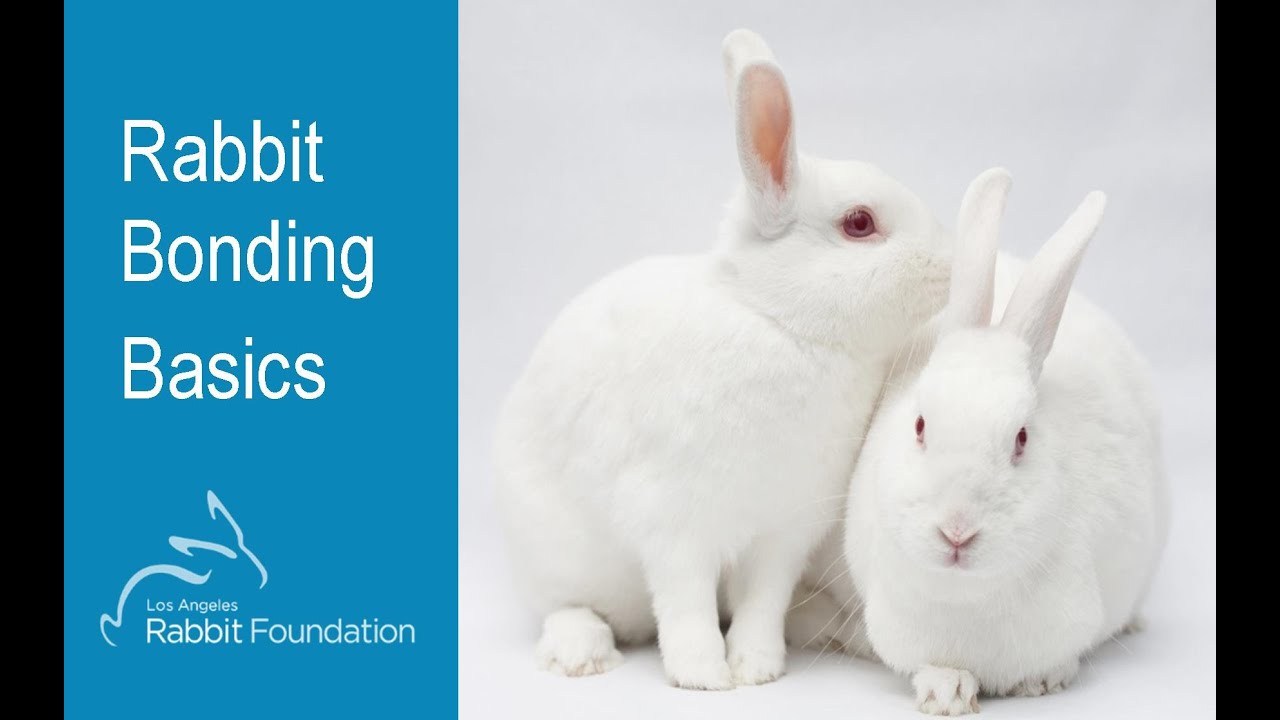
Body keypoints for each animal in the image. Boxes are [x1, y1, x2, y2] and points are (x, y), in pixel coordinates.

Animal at [494, 28, 970, 690]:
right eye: (859, 222)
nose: (950, 265)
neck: (778, 322)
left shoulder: (781, 535)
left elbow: (760, 603)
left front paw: (758, 668)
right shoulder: (674, 527)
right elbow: (686, 604)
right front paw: (703, 676)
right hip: (555, 551)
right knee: (568, 606)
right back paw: (582, 652)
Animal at [840, 171, 1170, 714]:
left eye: (1021, 438)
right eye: (920, 425)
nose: (956, 531)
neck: (967, 595)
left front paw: (1040, 684)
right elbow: (939, 668)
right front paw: (946, 695)